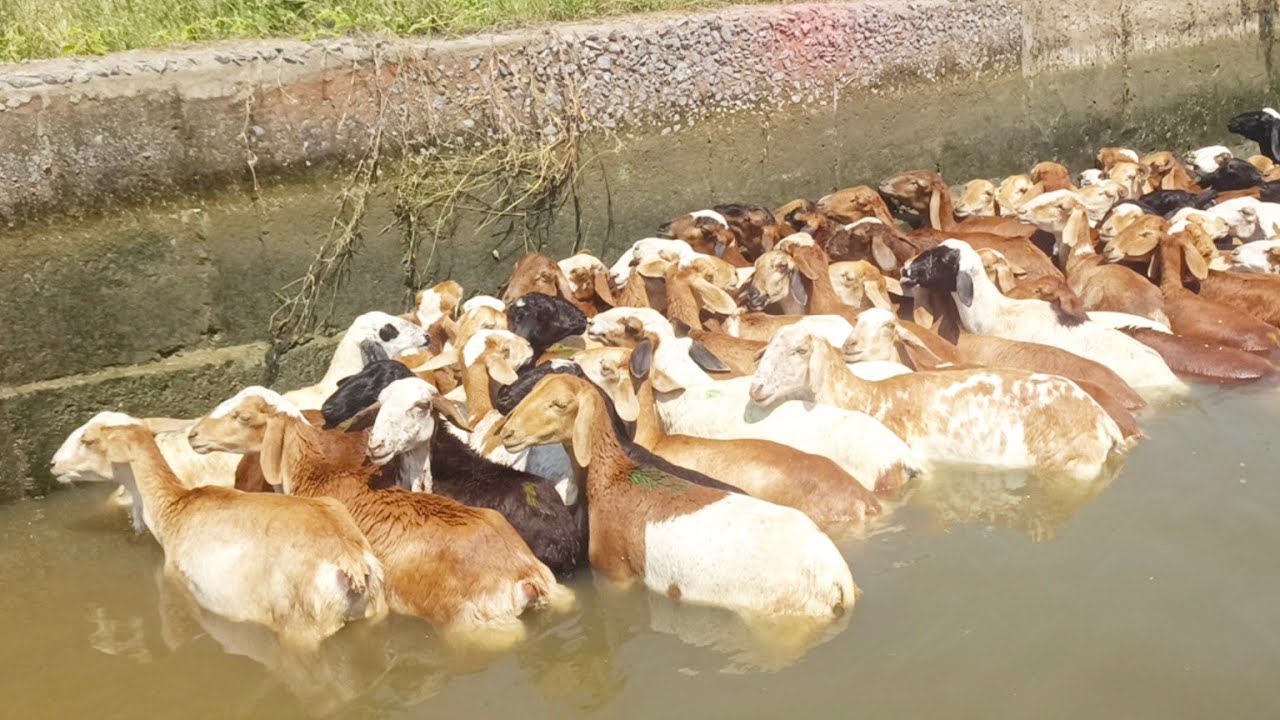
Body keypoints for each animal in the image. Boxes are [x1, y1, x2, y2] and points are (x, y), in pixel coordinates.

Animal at [51, 412, 387, 651]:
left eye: (88, 440)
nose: (53, 465)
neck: (174, 508)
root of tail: (351, 561)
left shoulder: (177, 582)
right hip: (373, 613)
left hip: (301, 628)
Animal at [751, 326, 1127, 480]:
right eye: (767, 349)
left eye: (800, 350)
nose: (755, 388)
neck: (868, 398)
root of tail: (1104, 421)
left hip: (1073, 466)